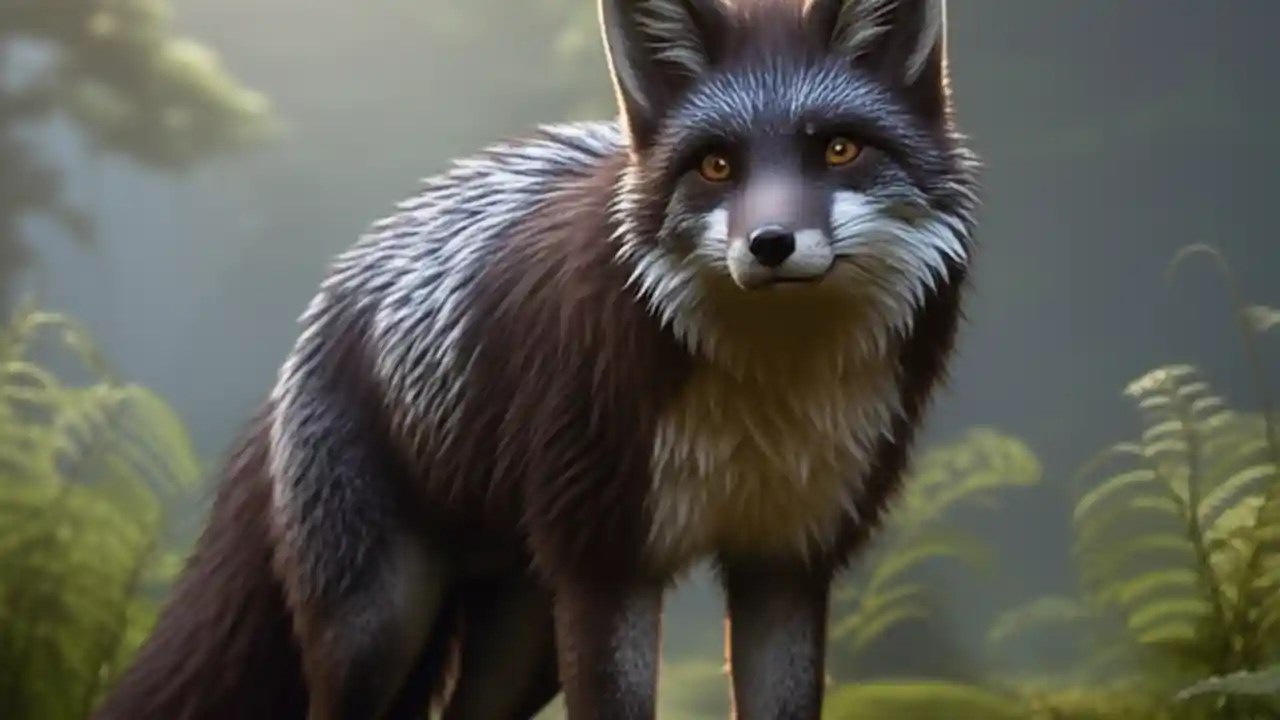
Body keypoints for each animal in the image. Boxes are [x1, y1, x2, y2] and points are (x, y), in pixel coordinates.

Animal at [92, 0, 980, 718]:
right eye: (717, 164)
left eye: (839, 150)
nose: (768, 245)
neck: (768, 393)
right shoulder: (607, 566)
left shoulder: (786, 564)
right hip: (381, 627)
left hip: (524, 641)